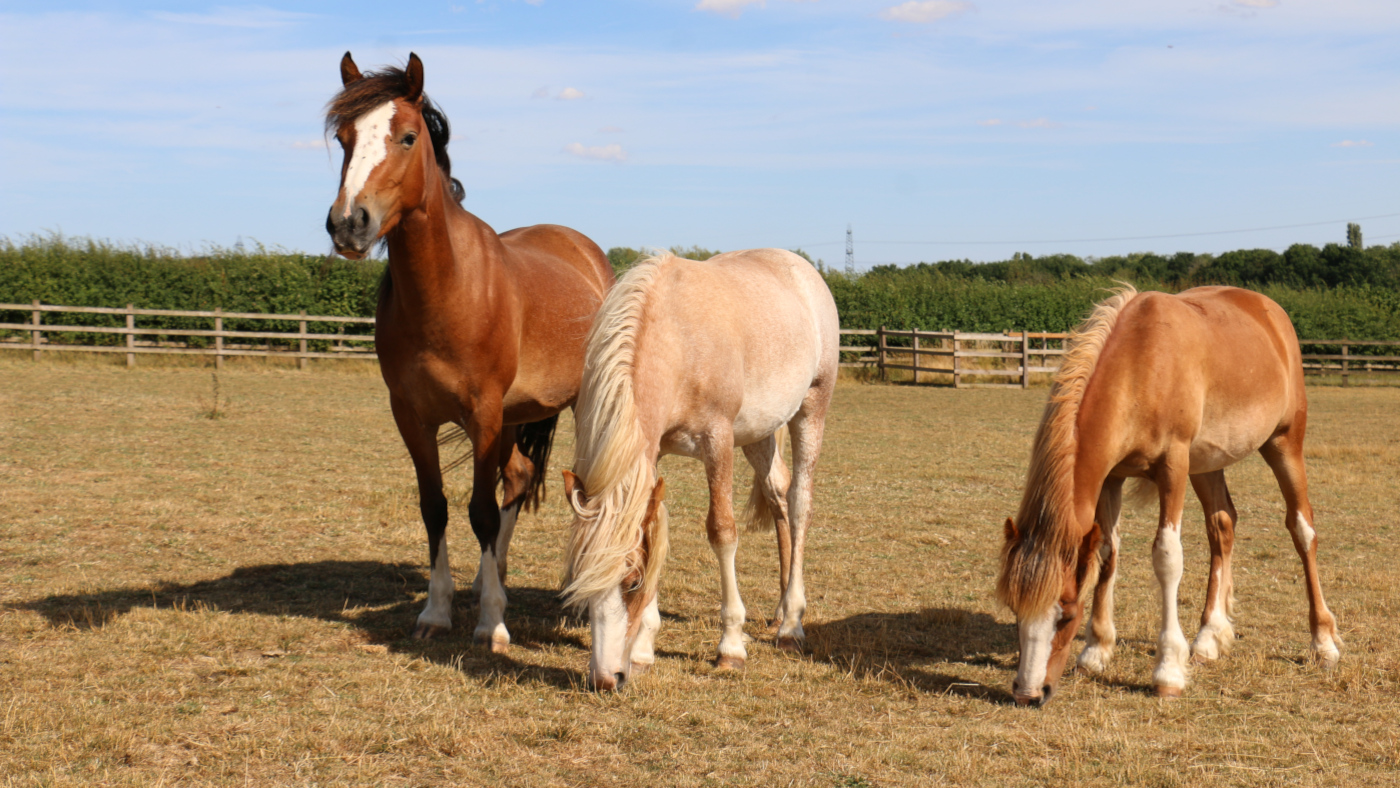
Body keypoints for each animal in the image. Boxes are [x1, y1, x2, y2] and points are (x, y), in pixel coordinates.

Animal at [324, 52, 614, 651]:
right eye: (343, 138)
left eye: (408, 137)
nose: (348, 223)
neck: (447, 288)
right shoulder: (412, 416)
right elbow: (435, 508)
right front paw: (438, 610)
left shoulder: (482, 413)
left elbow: (479, 511)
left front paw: (492, 623)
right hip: (514, 416)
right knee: (519, 479)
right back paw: (489, 577)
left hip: (574, 405)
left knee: (579, 488)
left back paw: (576, 589)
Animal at [558, 249, 839, 691]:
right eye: (582, 585)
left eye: (632, 582)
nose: (606, 679)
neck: (677, 340)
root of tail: (801, 267)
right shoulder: (653, 452)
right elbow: (656, 530)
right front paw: (642, 651)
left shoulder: (717, 441)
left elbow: (722, 532)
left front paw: (731, 647)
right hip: (759, 431)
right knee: (777, 492)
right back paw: (779, 611)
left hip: (812, 410)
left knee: (799, 504)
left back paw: (792, 624)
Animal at [997, 285, 1341, 706]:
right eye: (1014, 609)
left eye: (1067, 613)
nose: (1028, 694)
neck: (1140, 366)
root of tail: (1268, 309)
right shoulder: (1112, 477)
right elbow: (1108, 553)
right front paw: (1096, 651)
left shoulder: (1173, 468)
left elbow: (1167, 557)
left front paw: (1168, 671)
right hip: (1208, 464)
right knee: (1222, 526)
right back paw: (1210, 636)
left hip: (1284, 444)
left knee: (1301, 529)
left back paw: (1323, 643)